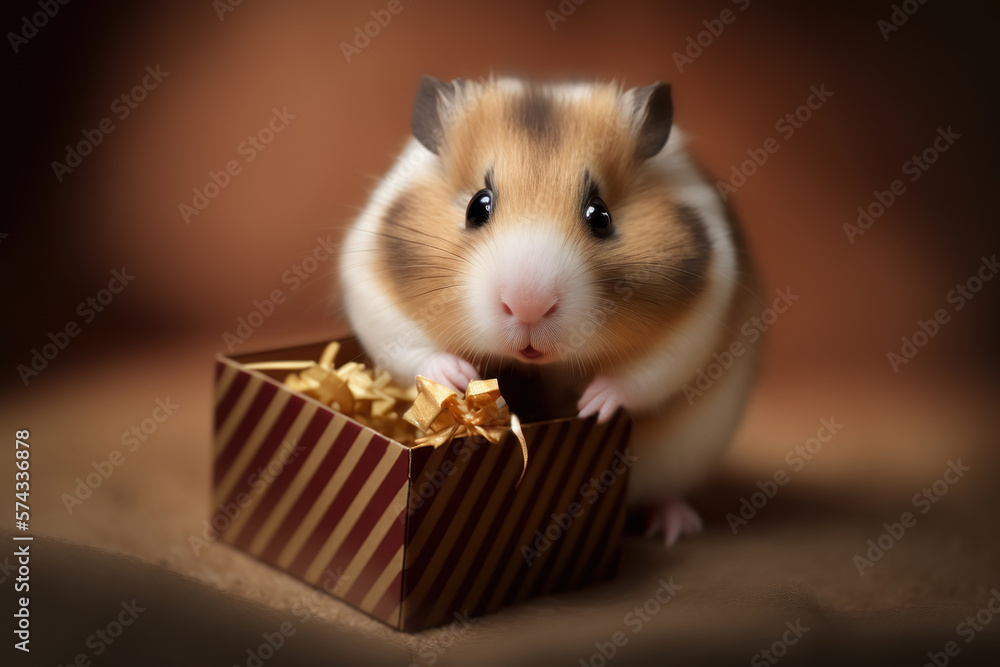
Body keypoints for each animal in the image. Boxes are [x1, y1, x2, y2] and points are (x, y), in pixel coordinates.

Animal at [339, 76, 762, 546]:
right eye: (477, 206)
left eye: (601, 215)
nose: (529, 306)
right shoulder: (375, 298)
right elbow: (414, 351)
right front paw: (462, 377)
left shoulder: (700, 322)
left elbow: (644, 375)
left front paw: (590, 407)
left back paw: (674, 529)